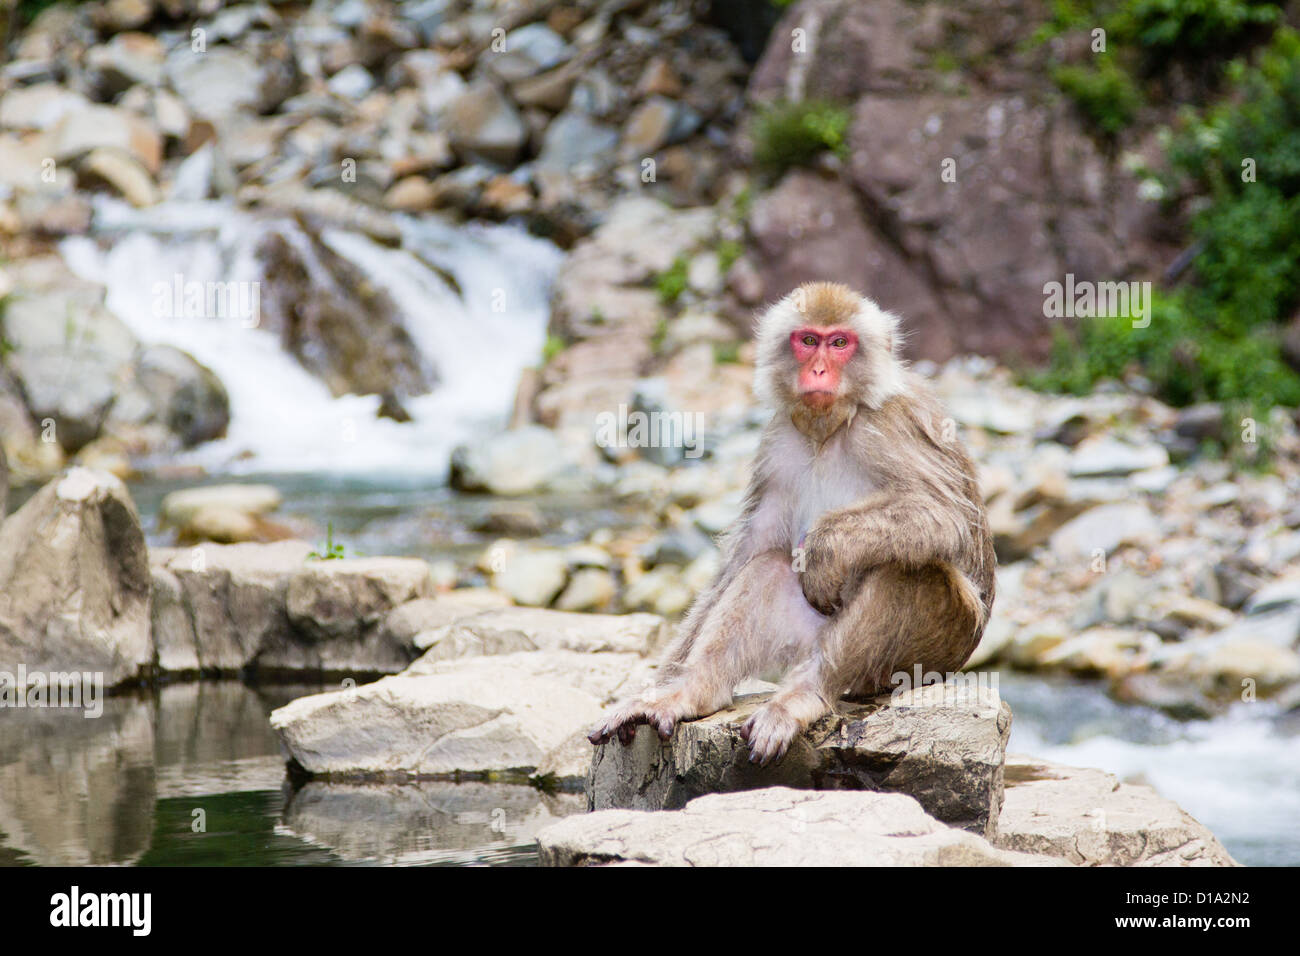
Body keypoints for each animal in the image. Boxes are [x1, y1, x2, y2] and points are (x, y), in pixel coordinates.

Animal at [588, 282, 996, 766]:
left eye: (839, 343)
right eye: (808, 340)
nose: (818, 369)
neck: (832, 426)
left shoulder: (892, 427)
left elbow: (945, 518)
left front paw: (825, 551)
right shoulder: (778, 442)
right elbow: (747, 552)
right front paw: (659, 688)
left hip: (933, 655)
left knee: (910, 572)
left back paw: (804, 696)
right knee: (768, 566)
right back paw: (693, 691)